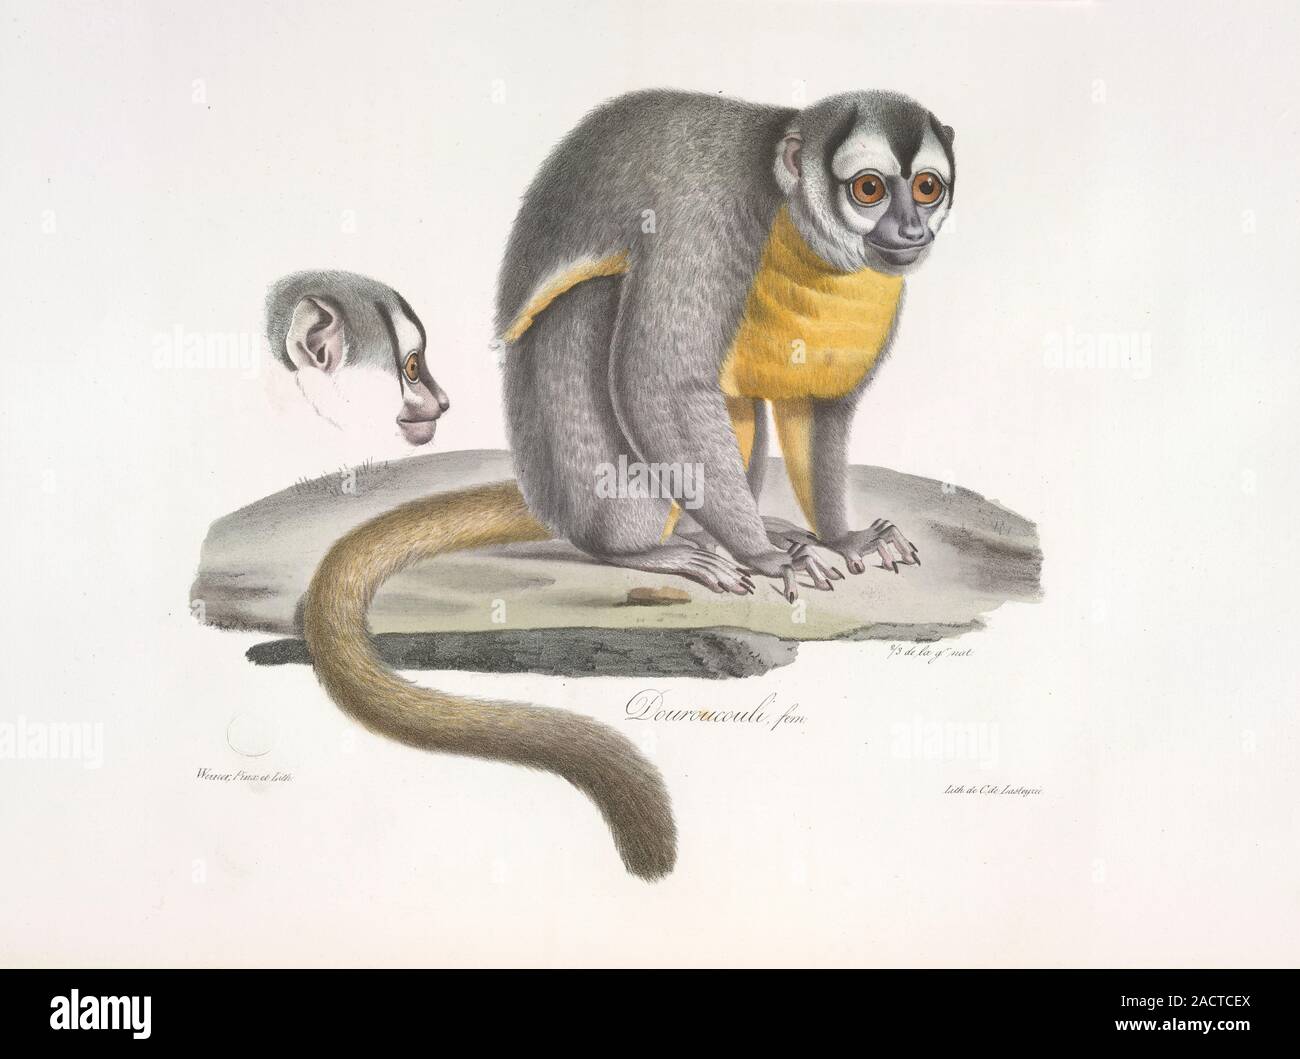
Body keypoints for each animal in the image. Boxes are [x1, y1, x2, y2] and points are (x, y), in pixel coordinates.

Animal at [301, 89, 955, 879]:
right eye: (869, 189)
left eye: (926, 186)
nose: (911, 228)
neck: (790, 214)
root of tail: (543, 495)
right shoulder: (705, 220)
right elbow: (655, 378)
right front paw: (770, 558)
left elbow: (818, 408)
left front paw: (841, 537)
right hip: (562, 452)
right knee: (601, 311)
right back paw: (655, 550)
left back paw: (732, 528)